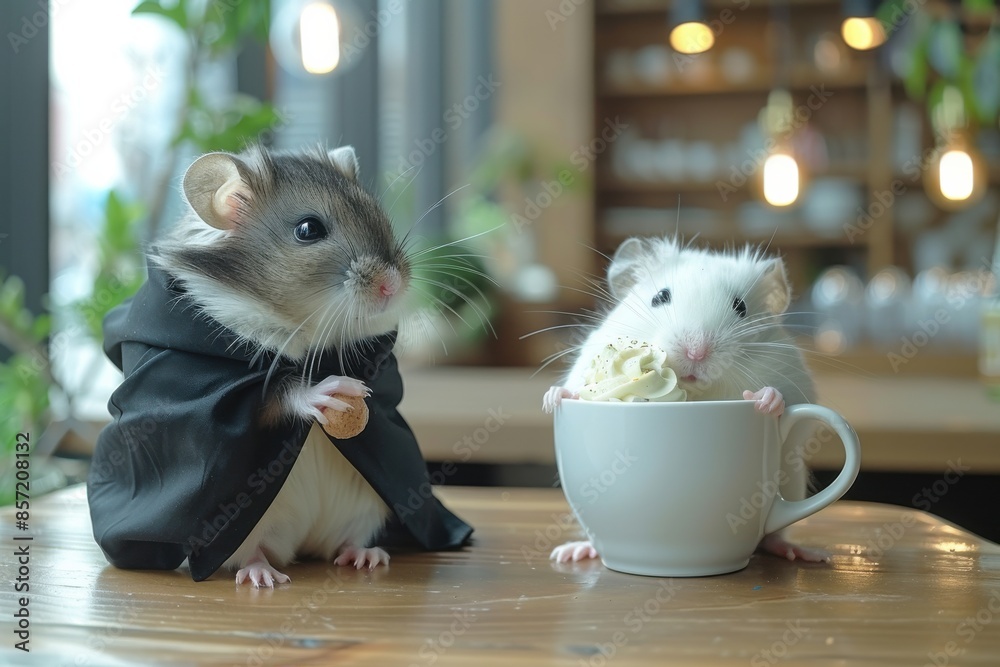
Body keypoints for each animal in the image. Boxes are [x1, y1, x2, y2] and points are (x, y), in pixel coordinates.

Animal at [152, 145, 409, 587]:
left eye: (376, 212)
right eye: (308, 229)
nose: (393, 285)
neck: (304, 327)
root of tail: (303, 543)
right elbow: (274, 394)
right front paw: (333, 390)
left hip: (362, 509)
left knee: (347, 540)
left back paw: (367, 557)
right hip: (249, 532)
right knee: (252, 553)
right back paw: (262, 576)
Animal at [543, 235, 826, 564]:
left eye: (740, 306)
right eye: (659, 297)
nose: (696, 353)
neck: (694, 394)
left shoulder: (794, 377)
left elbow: (790, 406)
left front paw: (766, 400)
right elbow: (574, 387)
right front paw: (554, 397)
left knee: (772, 535)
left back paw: (802, 553)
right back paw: (572, 552)